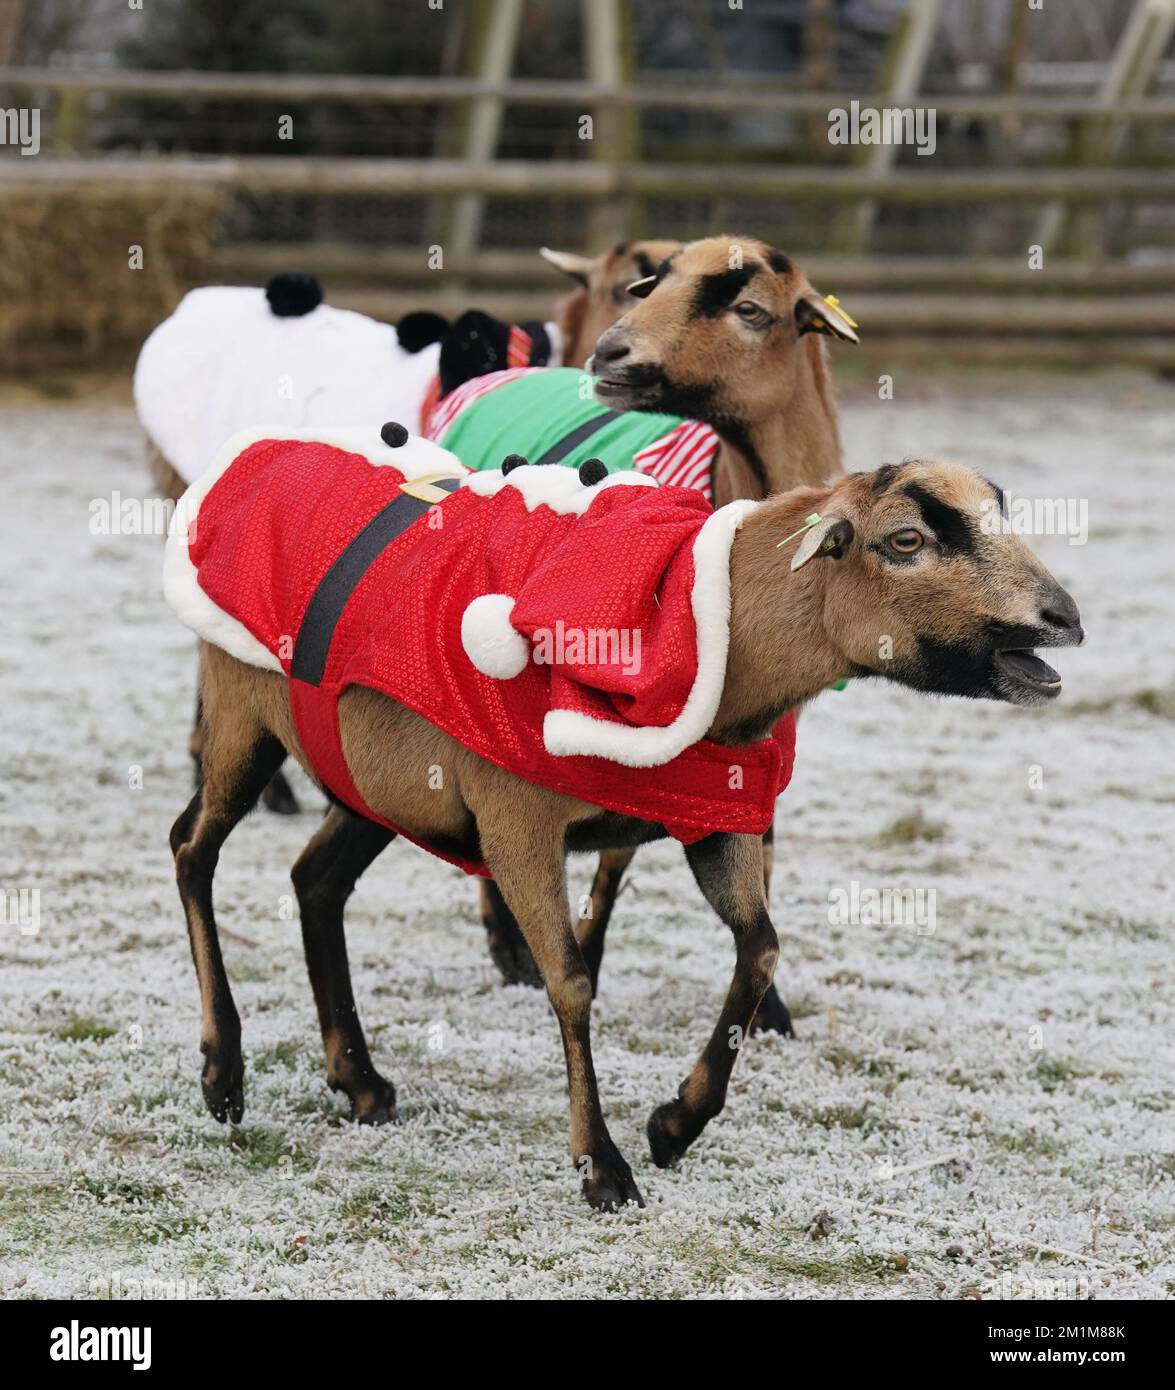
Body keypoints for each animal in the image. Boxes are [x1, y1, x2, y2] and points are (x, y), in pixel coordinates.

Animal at [166, 445, 1082, 1211]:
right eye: (904, 540)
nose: (1062, 619)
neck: (714, 638)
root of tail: (251, 458)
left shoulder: (712, 820)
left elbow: (760, 952)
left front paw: (674, 1126)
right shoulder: (515, 818)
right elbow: (572, 981)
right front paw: (603, 1168)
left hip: (374, 783)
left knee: (314, 882)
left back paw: (359, 1081)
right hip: (242, 714)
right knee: (191, 849)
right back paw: (223, 1073)